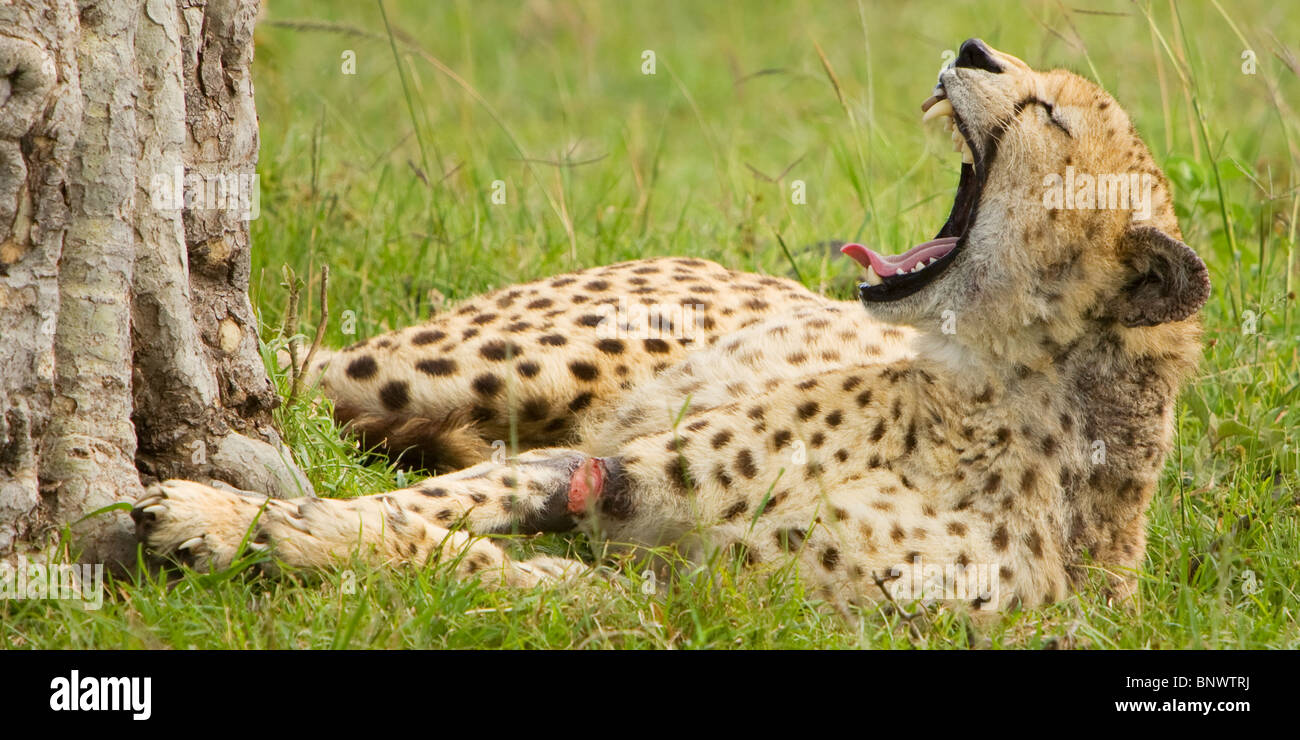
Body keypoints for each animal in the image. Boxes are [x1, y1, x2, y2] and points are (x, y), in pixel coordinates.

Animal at [131, 39, 1209, 613]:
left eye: (1051, 115)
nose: (975, 50)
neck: (983, 400)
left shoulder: (719, 604)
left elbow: (487, 561)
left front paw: (275, 537)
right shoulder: (610, 471)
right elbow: (414, 513)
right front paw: (237, 517)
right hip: (477, 366)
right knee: (312, 372)